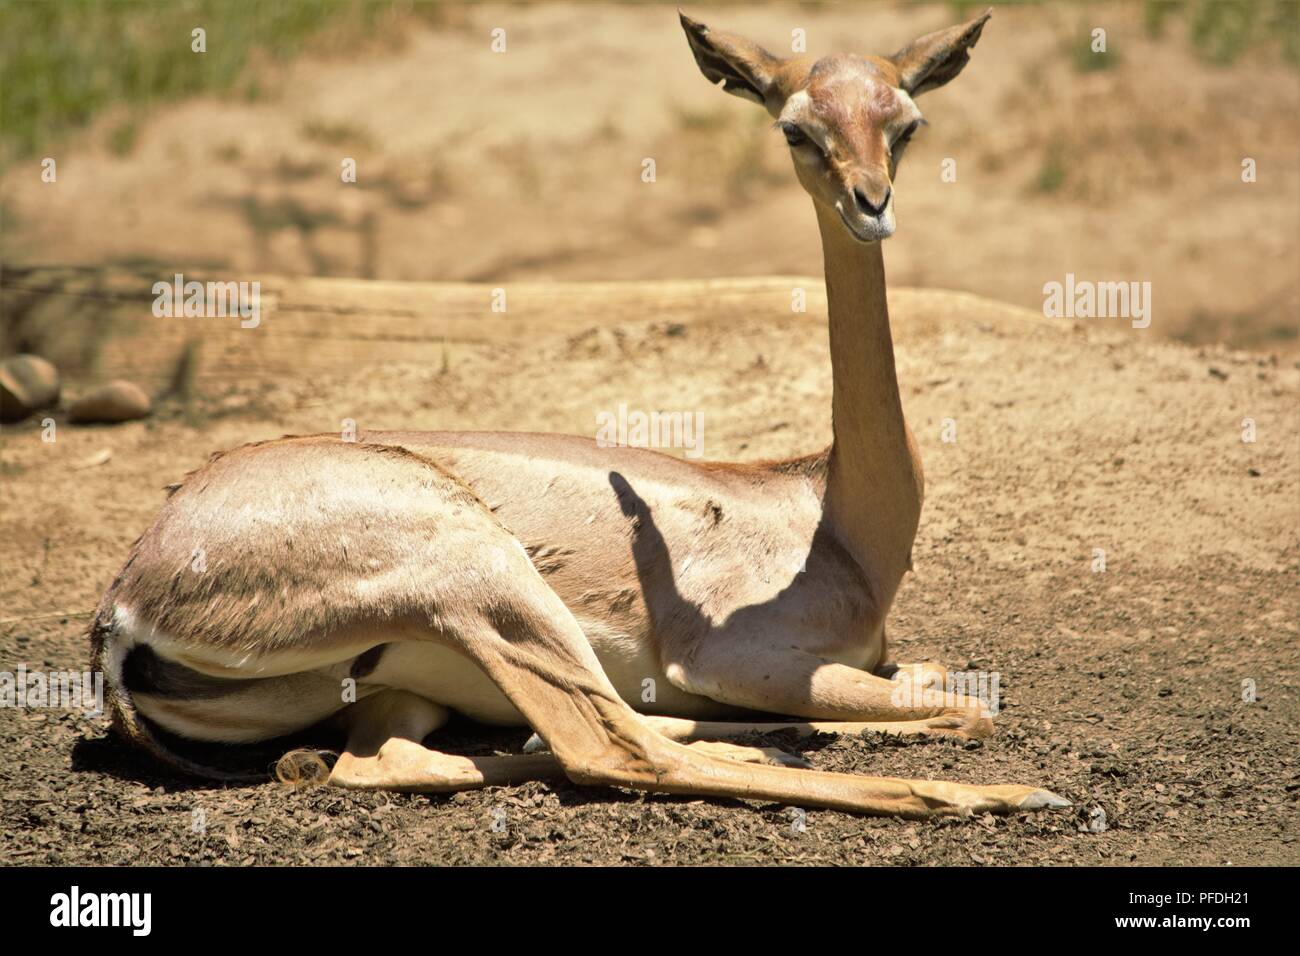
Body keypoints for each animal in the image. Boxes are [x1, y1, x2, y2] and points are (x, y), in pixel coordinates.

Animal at [89, 8, 1071, 818]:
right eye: (796, 125)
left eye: (906, 122)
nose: (870, 206)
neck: (830, 517)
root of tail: (123, 602)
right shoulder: (741, 658)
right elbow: (969, 707)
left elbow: (948, 686)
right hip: (482, 579)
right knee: (612, 750)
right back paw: (1006, 796)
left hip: (409, 683)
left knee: (393, 760)